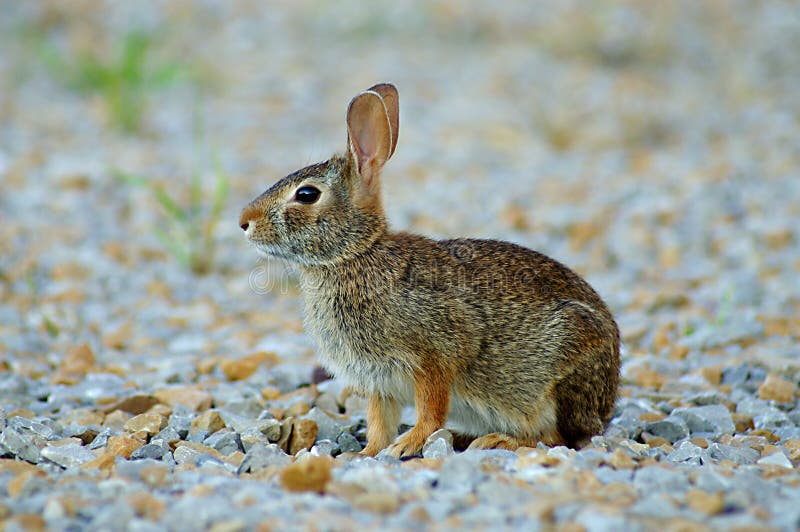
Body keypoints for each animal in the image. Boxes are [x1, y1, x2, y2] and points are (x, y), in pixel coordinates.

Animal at [239, 83, 620, 457]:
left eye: (306, 194)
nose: (244, 222)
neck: (356, 254)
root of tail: (605, 407)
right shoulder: (380, 382)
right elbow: (380, 420)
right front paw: (367, 453)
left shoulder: (435, 354)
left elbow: (431, 408)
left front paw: (408, 444)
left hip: (557, 371)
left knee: (557, 438)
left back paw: (497, 441)